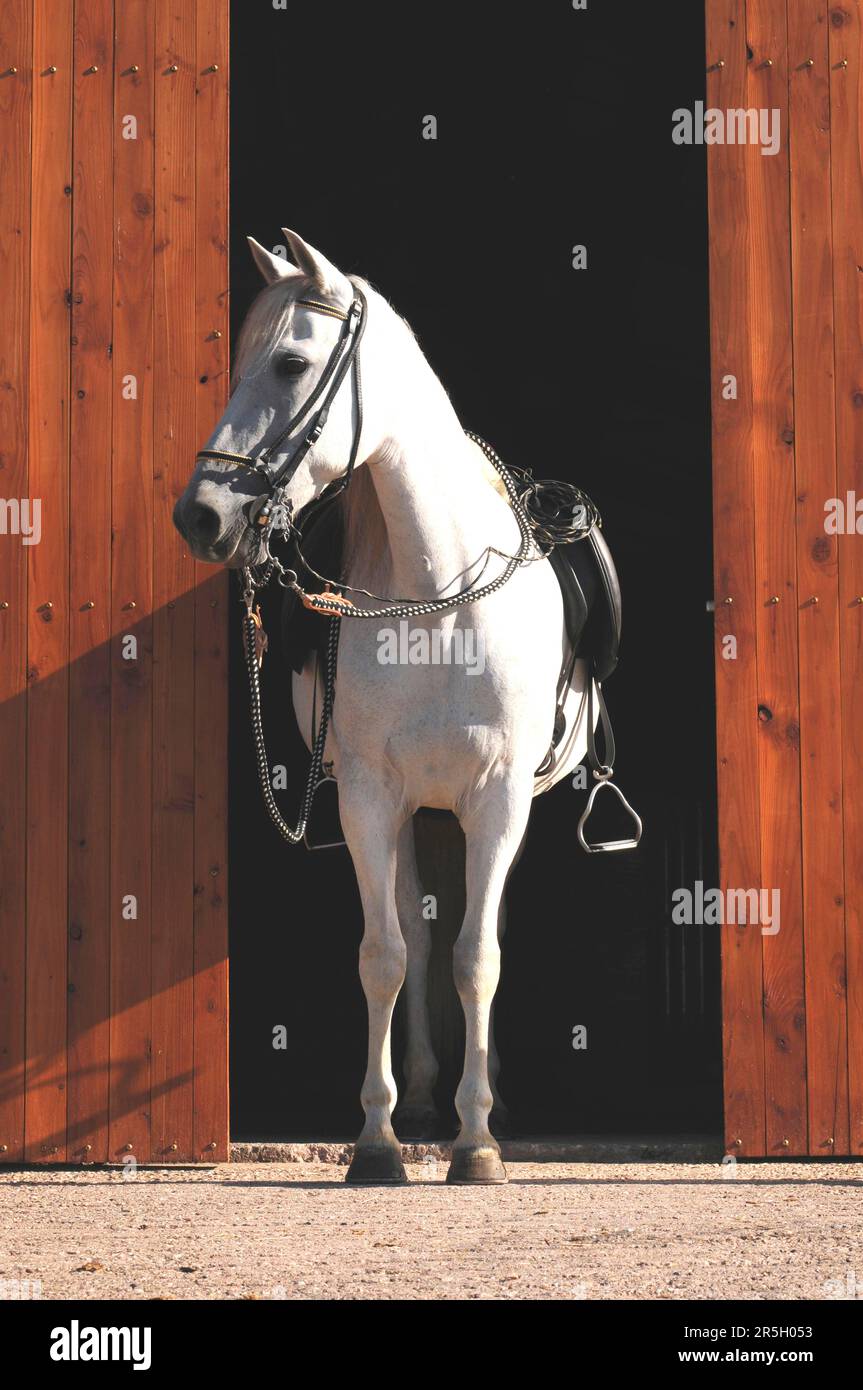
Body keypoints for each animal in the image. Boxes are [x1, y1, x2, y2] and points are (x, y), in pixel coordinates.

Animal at [174, 230, 598, 1184]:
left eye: (292, 363)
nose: (201, 516)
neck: (438, 598)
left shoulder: (498, 798)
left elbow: (478, 958)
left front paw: (477, 1144)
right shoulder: (369, 798)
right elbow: (385, 955)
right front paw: (378, 1139)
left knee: (475, 929)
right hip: (415, 816)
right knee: (415, 930)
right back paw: (427, 1095)